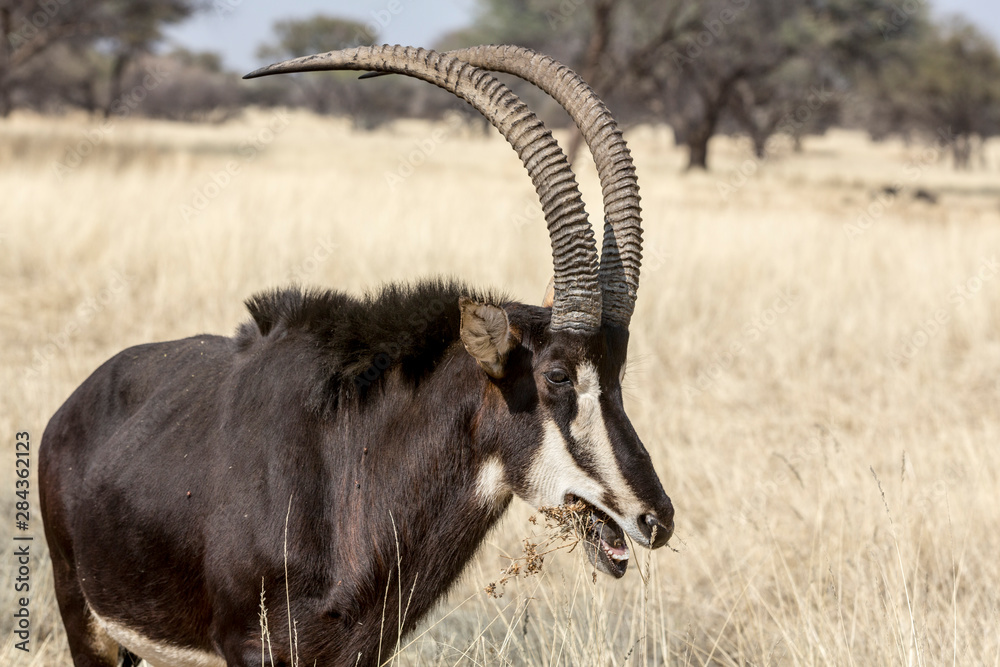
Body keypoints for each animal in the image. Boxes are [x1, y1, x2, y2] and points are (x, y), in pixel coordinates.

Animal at [39, 45, 674, 667]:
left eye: (617, 375)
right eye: (557, 375)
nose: (655, 519)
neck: (350, 462)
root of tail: (71, 409)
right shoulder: (251, 648)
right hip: (89, 624)